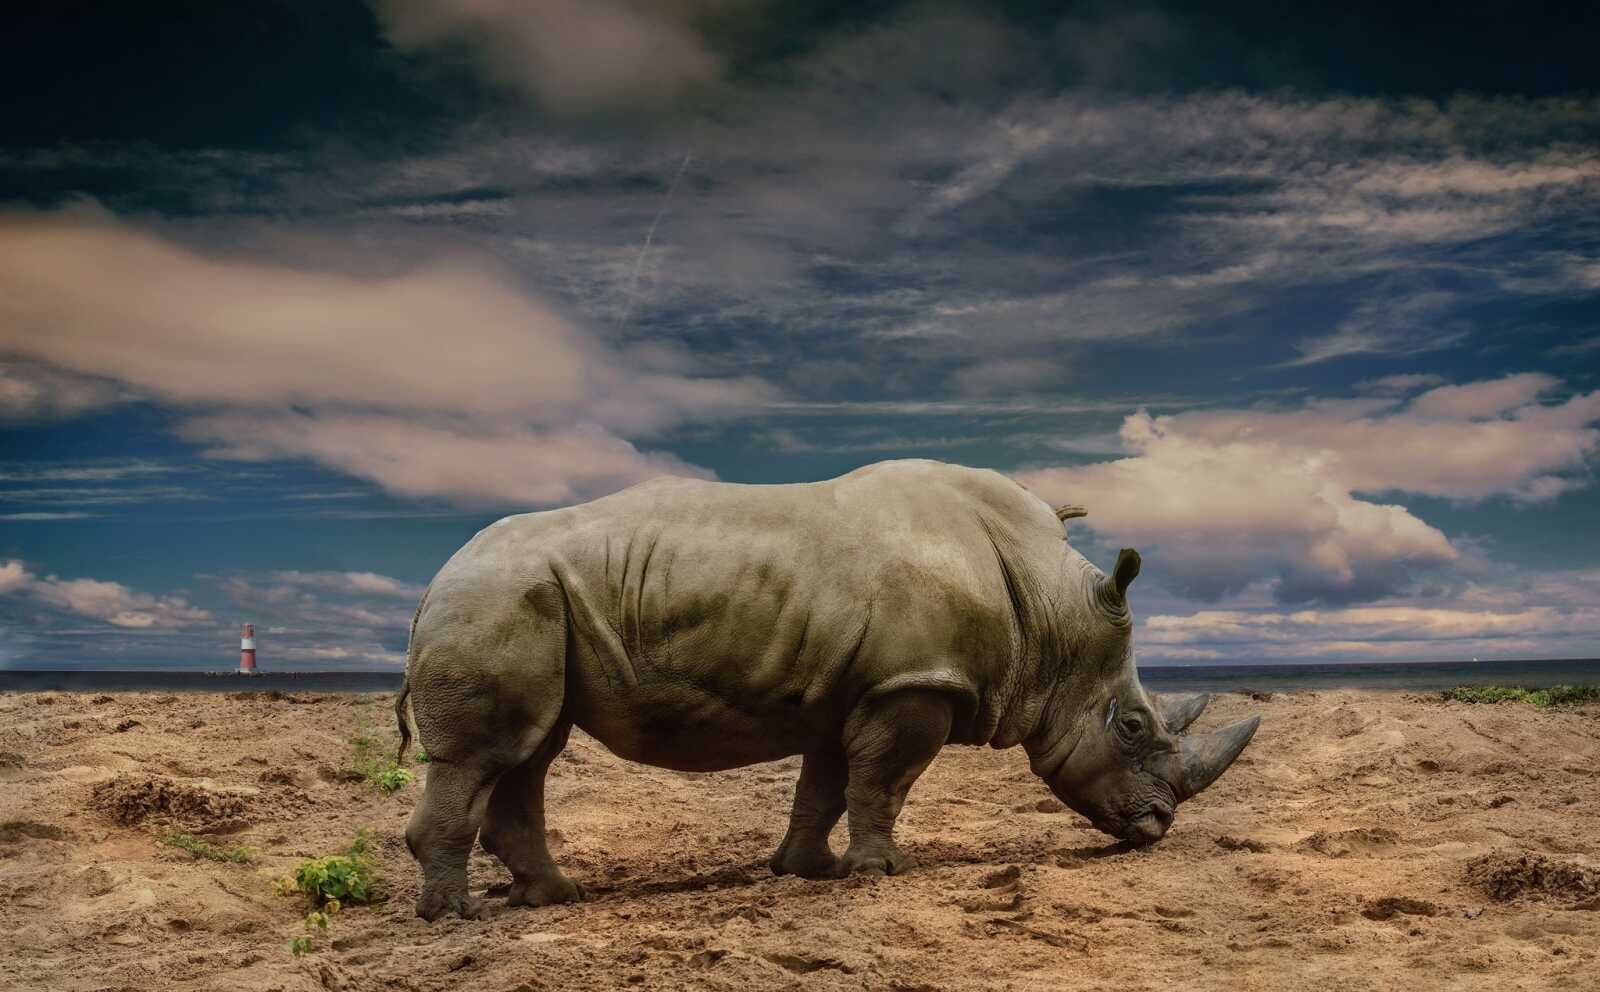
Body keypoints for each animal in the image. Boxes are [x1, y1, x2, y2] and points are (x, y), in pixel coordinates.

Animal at [395, 459, 1259, 919]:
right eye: (1133, 727)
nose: (1157, 827)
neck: (1051, 615)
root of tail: (434, 577)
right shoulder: (913, 684)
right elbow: (883, 783)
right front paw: (878, 873)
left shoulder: (856, 688)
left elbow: (826, 786)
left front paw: (804, 872)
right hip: (497, 597)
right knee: (487, 755)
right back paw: (457, 916)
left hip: (524, 600)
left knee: (530, 751)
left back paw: (556, 897)